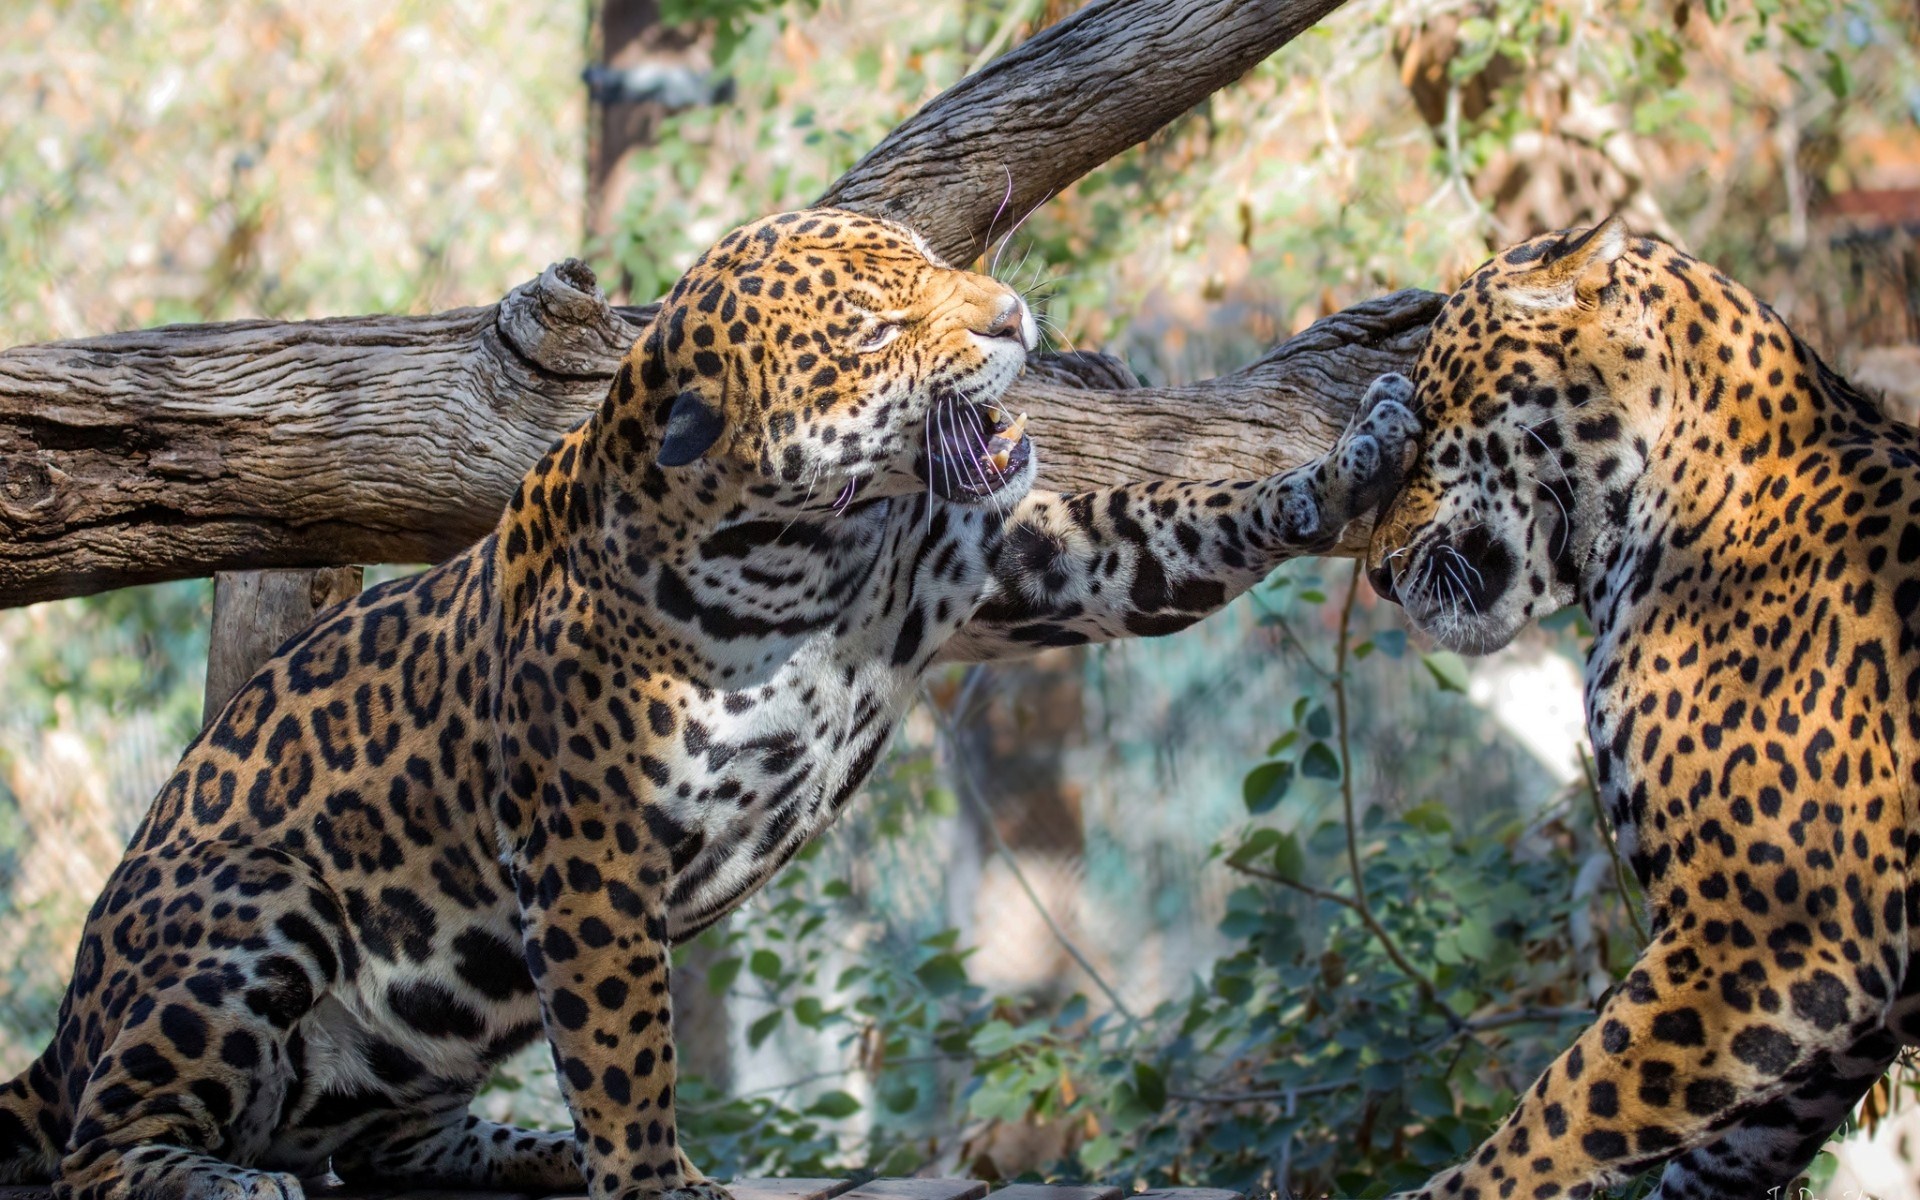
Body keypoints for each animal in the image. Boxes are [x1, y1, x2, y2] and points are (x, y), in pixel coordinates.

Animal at [0, 207, 1420, 1200]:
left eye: (935, 264)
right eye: (878, 330)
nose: (1017, 316)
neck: (806, 549)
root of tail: (64, 1036)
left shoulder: (1028, 562)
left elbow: (1183, 527)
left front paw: (1351, 462)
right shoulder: (586, 850)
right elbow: (626, 1045)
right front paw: (653, 1177)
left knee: (388, 1145)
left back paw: (527, 1149)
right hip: (254, 909)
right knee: (100, 1148)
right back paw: (226, 1173)